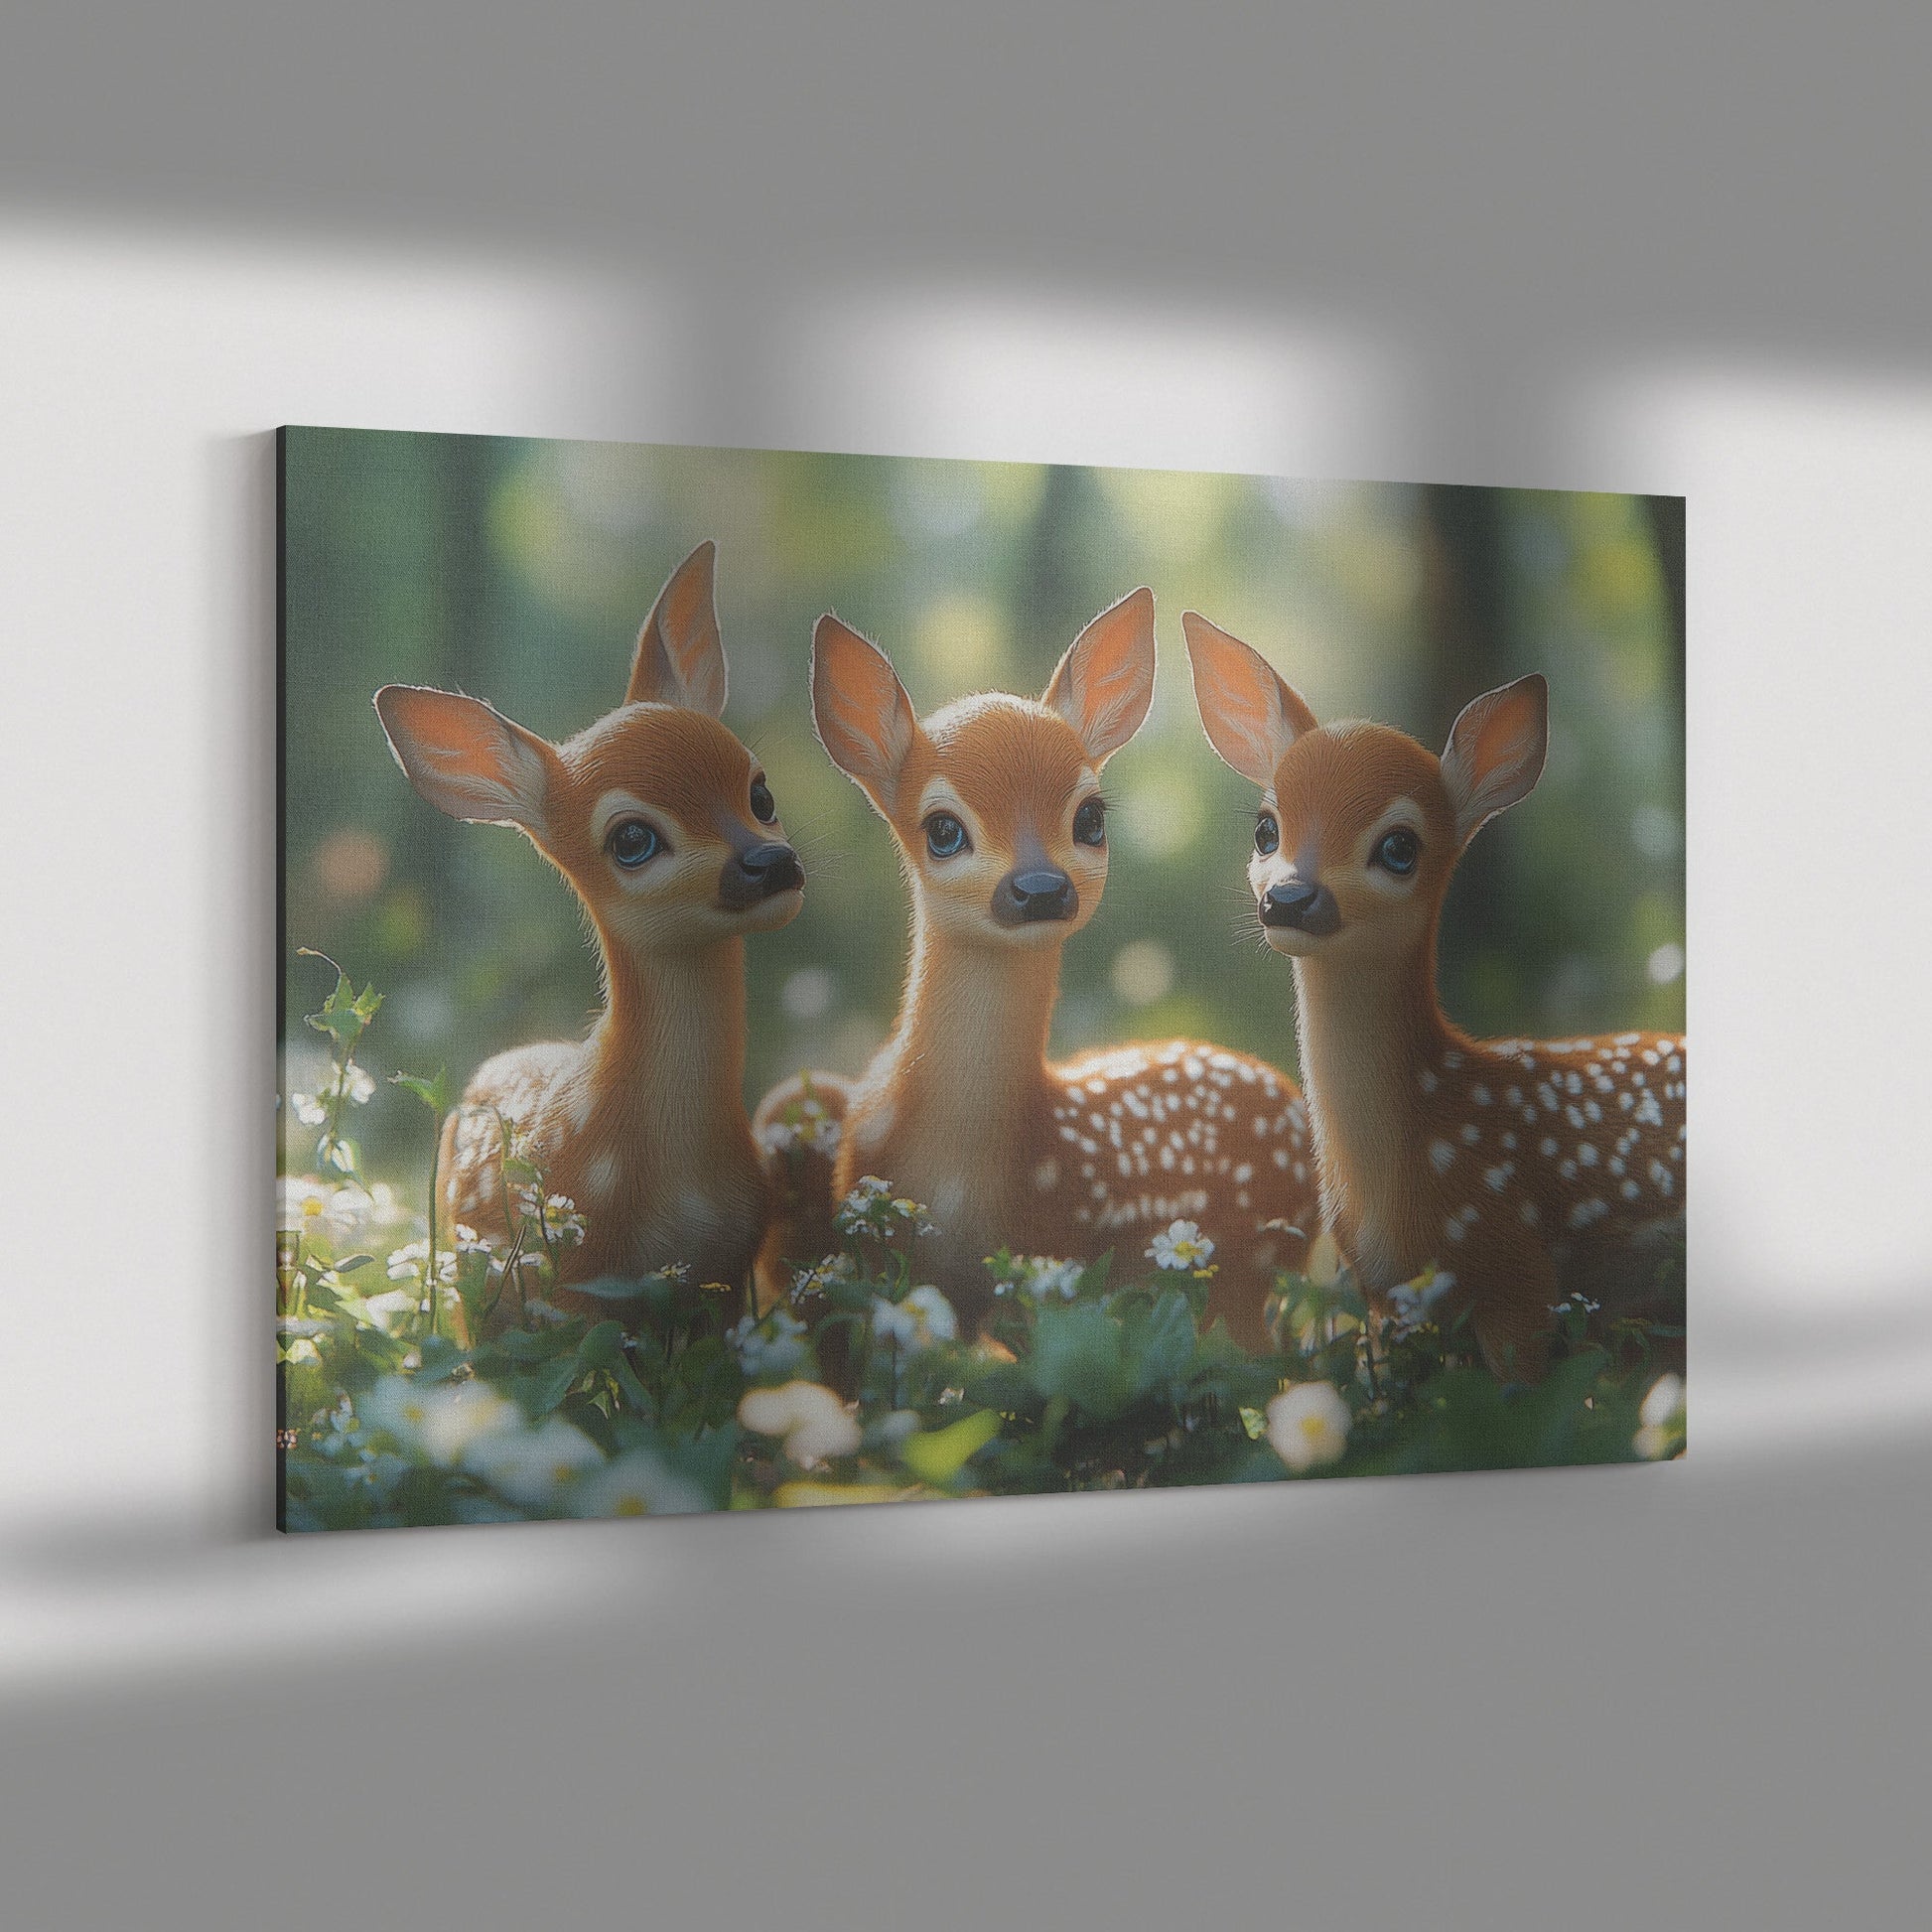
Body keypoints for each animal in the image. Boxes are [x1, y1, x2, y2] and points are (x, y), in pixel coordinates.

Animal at [753, 589, 1319, 1348]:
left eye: (1090, 819)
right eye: (942, 829)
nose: (1041, 888)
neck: (970, 1168)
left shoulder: (1045, 1261)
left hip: (1242, 1277)